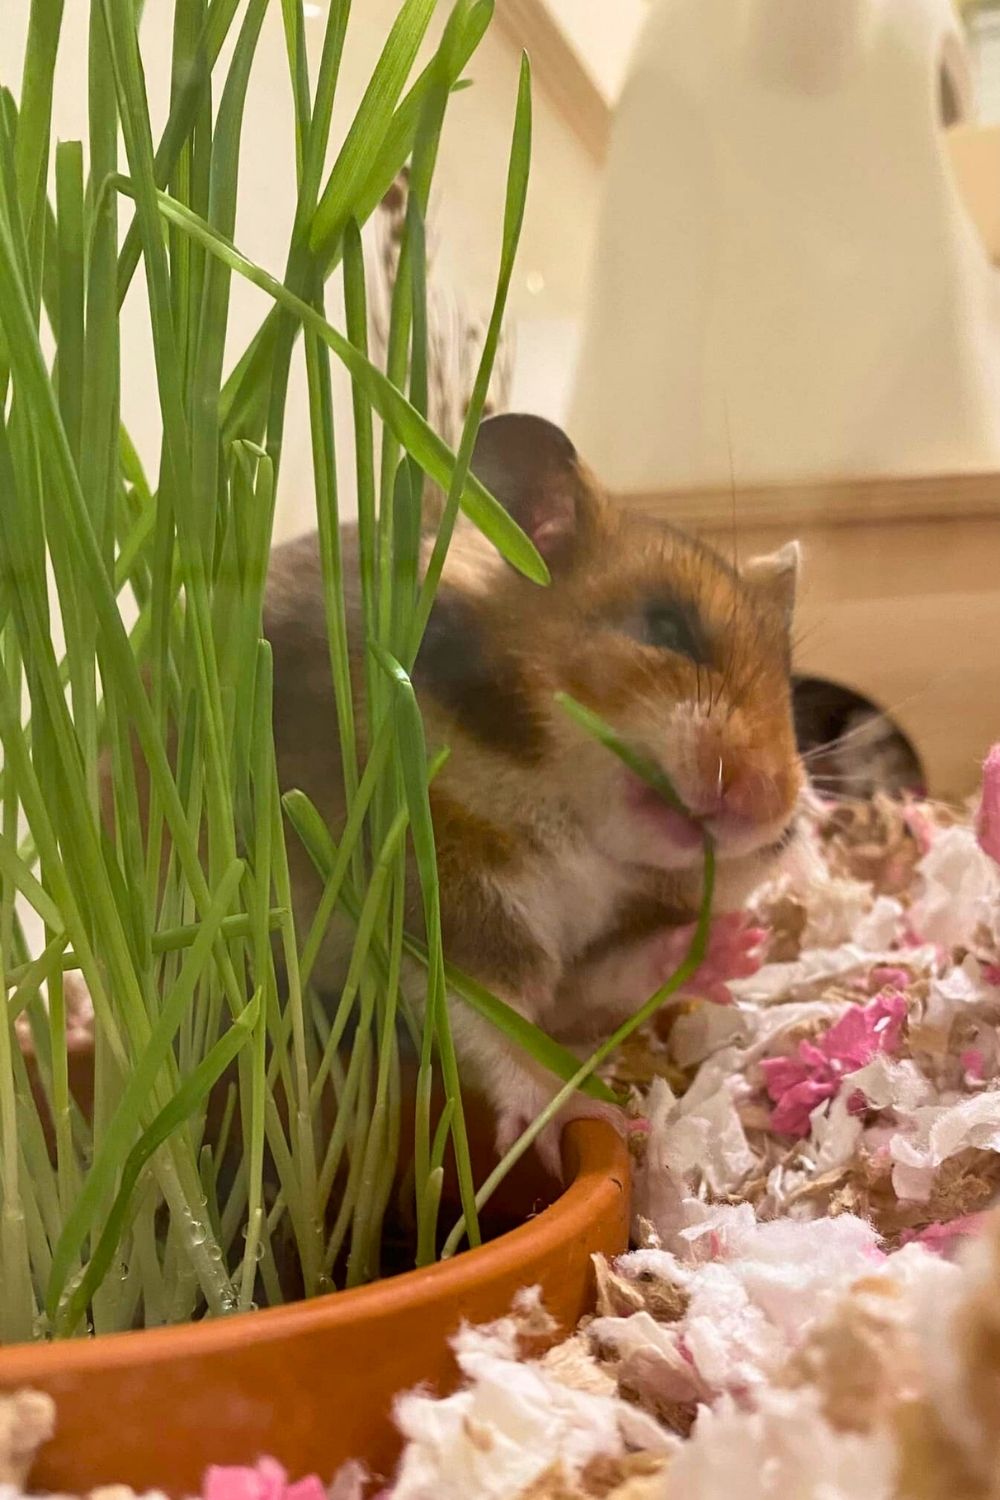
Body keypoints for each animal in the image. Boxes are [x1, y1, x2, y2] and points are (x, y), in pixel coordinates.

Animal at [265, 413, 804, 1172]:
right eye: (666, 627)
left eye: (790, 678)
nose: (769, 810)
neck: (573, 824)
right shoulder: (451, 909)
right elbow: (496, 1026)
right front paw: (588, 1117)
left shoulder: (588, 950)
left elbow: (601, 982)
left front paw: (736, 946)